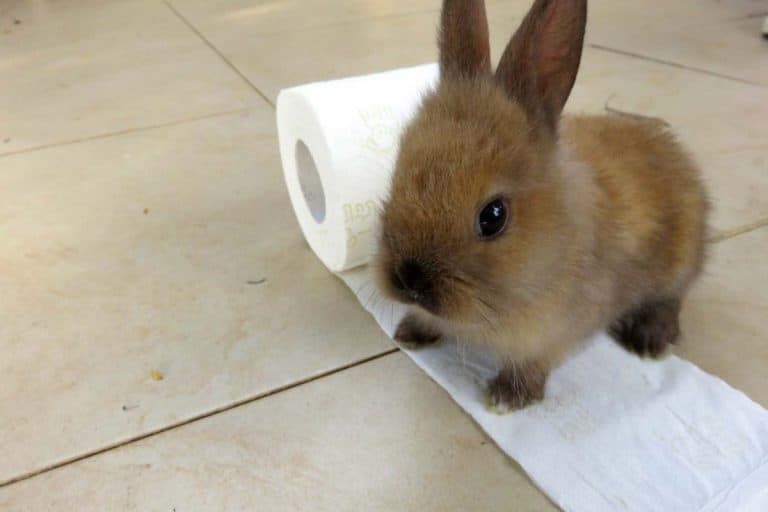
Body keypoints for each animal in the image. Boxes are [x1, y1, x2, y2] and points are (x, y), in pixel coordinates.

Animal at [374, 0, 708, 412]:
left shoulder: (555, 334)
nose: (409, 280)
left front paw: (507, 398)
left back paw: (650, 341)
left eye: (493, 216)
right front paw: (410, 332)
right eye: (397, 175)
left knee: (671, 299)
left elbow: (533, 363)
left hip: (679, 263)